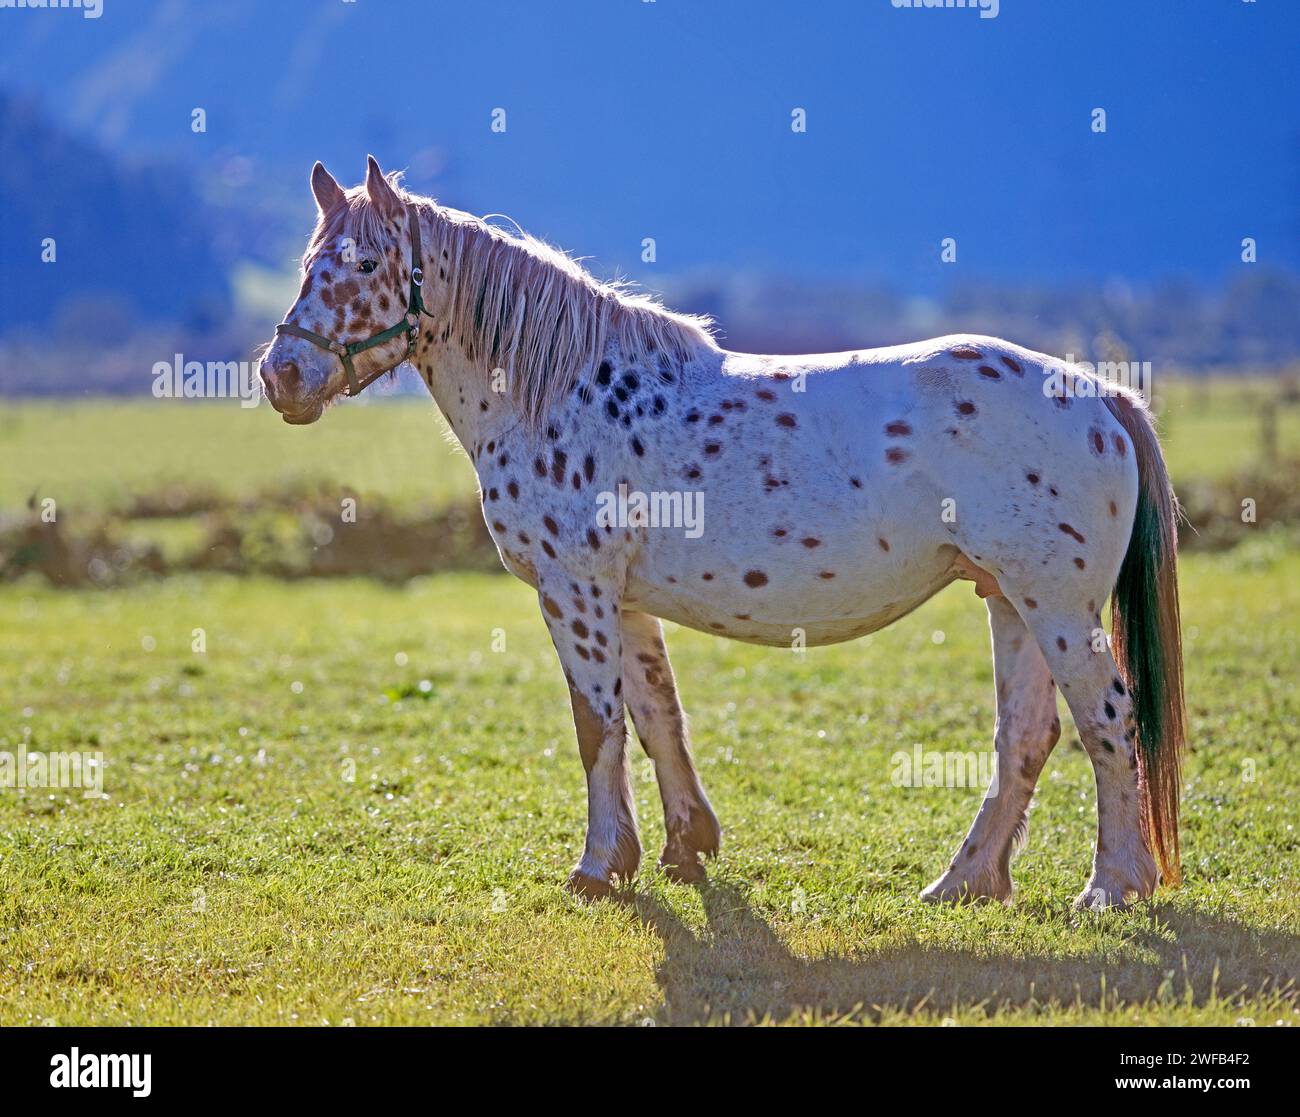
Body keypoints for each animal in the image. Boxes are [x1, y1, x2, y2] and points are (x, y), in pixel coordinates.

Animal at [260, 157, 1186, 910]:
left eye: (366, 264)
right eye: (308, 265)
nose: (280, 375)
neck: (562, 388)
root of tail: (1103, 394)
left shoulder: (574, 591)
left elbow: (597, 724)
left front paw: (597, 867)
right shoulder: (624, 602)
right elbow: (656, 716)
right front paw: (679, 848)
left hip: (1057, 607)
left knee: (1109, 722)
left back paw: (1111, 886)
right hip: (1009, 600)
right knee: (1026, 737)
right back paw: (964, 881)